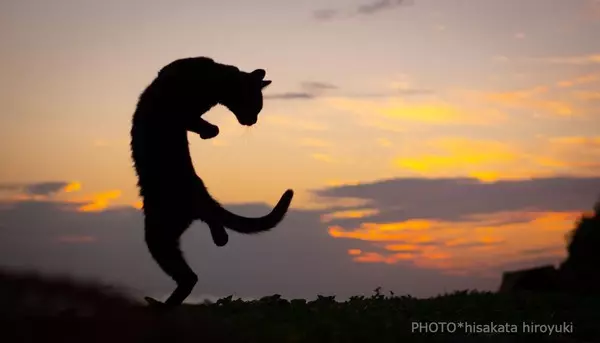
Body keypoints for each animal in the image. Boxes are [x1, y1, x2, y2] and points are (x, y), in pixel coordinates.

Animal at [130, 57, 294, 310]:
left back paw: (162, 306)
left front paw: (208, 132)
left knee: (189, 276)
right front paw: (208, 132)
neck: (213, 80)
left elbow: (200, 123)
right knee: (215, 224)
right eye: (256, 106)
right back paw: (219, 238)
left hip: (159, 231)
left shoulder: (179, 109)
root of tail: (199, 193)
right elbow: (204, 125)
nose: (254, 121)